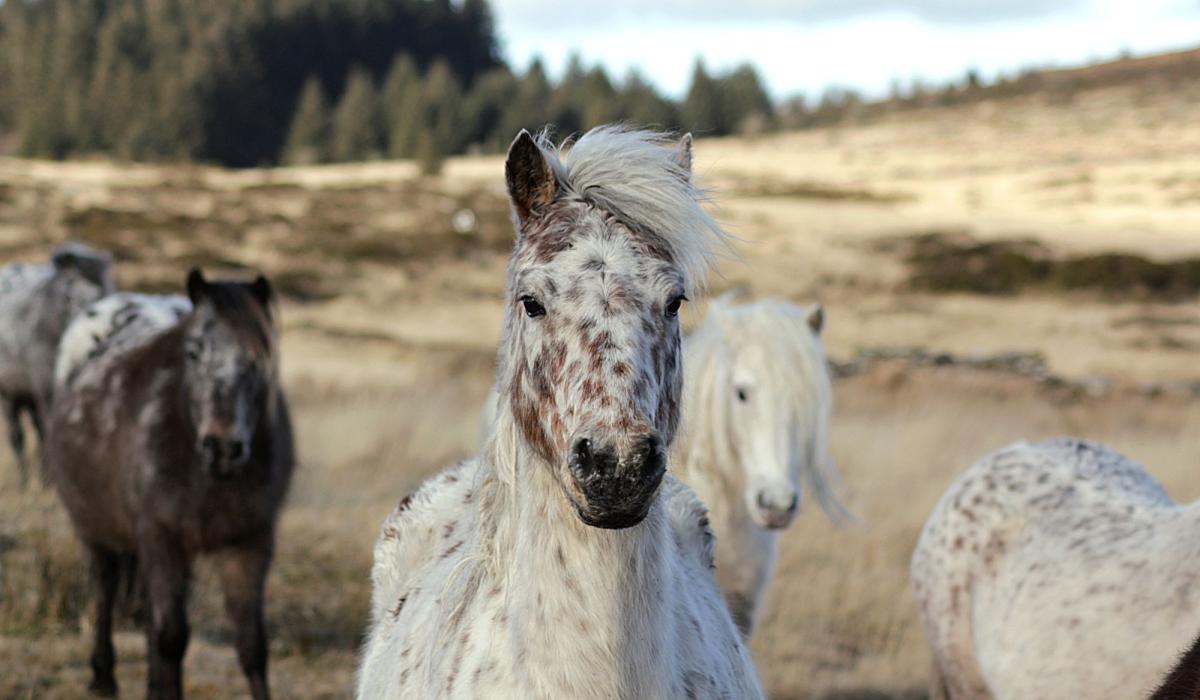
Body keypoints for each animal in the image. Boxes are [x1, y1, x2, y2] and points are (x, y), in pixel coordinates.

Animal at [0, 242, 113, 486]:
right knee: (18, 436)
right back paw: (25, 481)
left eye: (101, 293)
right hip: (9, 397)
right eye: (68, 296)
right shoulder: (47, 394)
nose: (94, 335)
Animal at [46, 269, 294, 700]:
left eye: (257, 358)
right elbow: (172, 637)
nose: (223, 447)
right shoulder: (161, 537)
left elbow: (251, 644)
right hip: (96, 529)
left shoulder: (248, 543)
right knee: (105, 587)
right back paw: (103, 675)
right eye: (193, 353)